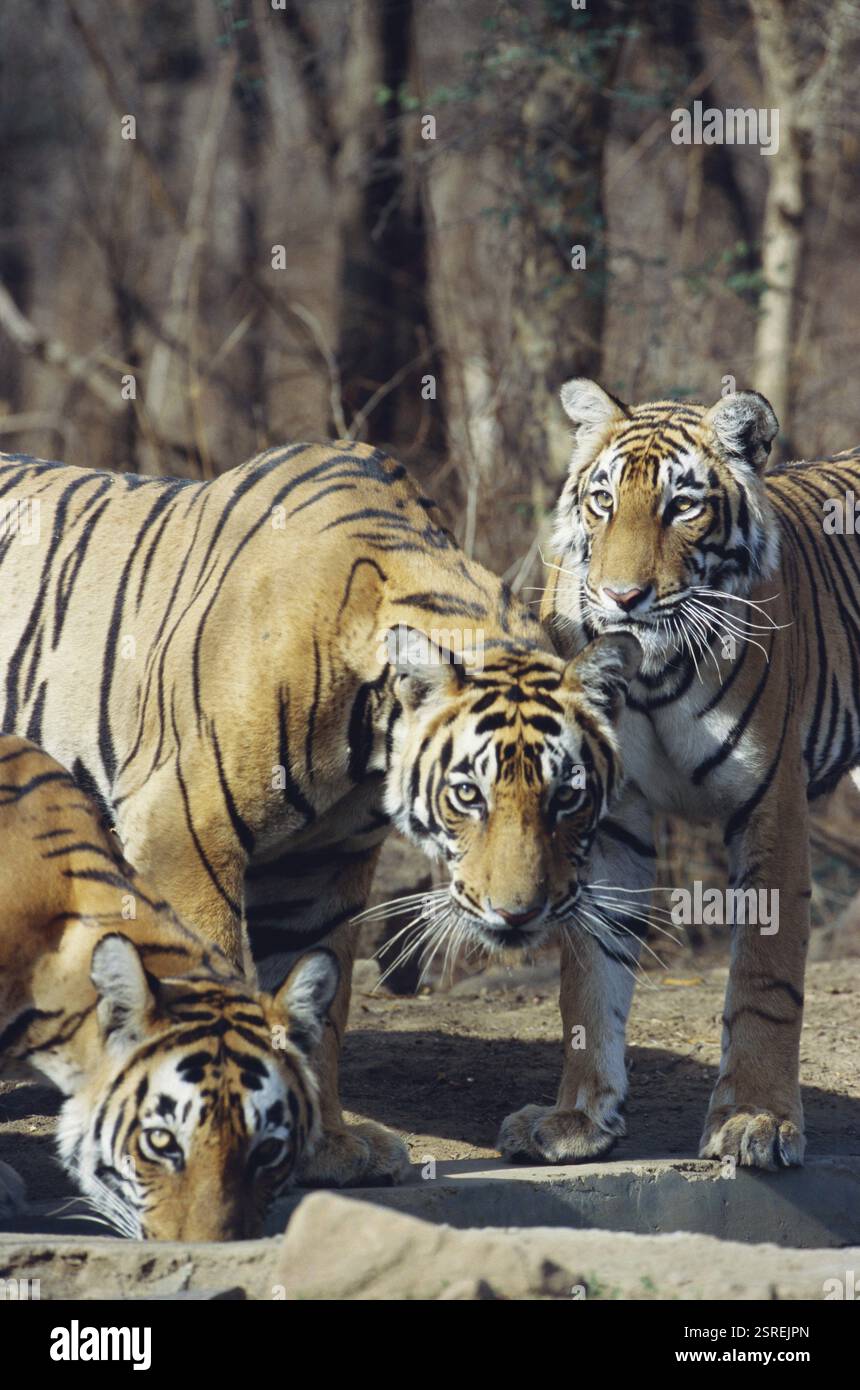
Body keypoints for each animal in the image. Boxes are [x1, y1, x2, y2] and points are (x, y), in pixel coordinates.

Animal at [0, 440, 642, 1186]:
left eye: (567, 796)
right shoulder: (180, 831)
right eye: (467, 795)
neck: (370, 733)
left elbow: (318, 1010)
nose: (520, 914)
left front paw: (323, 1144)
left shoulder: (323, 867)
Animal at [511, 375, 860, 1172]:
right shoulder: (606, 816)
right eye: (603, 500)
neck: (651, 671)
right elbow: (589, 974)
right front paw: (577, 1117)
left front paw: (757, 1120)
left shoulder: (771, 804)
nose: (620, 597)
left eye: (682, 506)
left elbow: (765, 977)